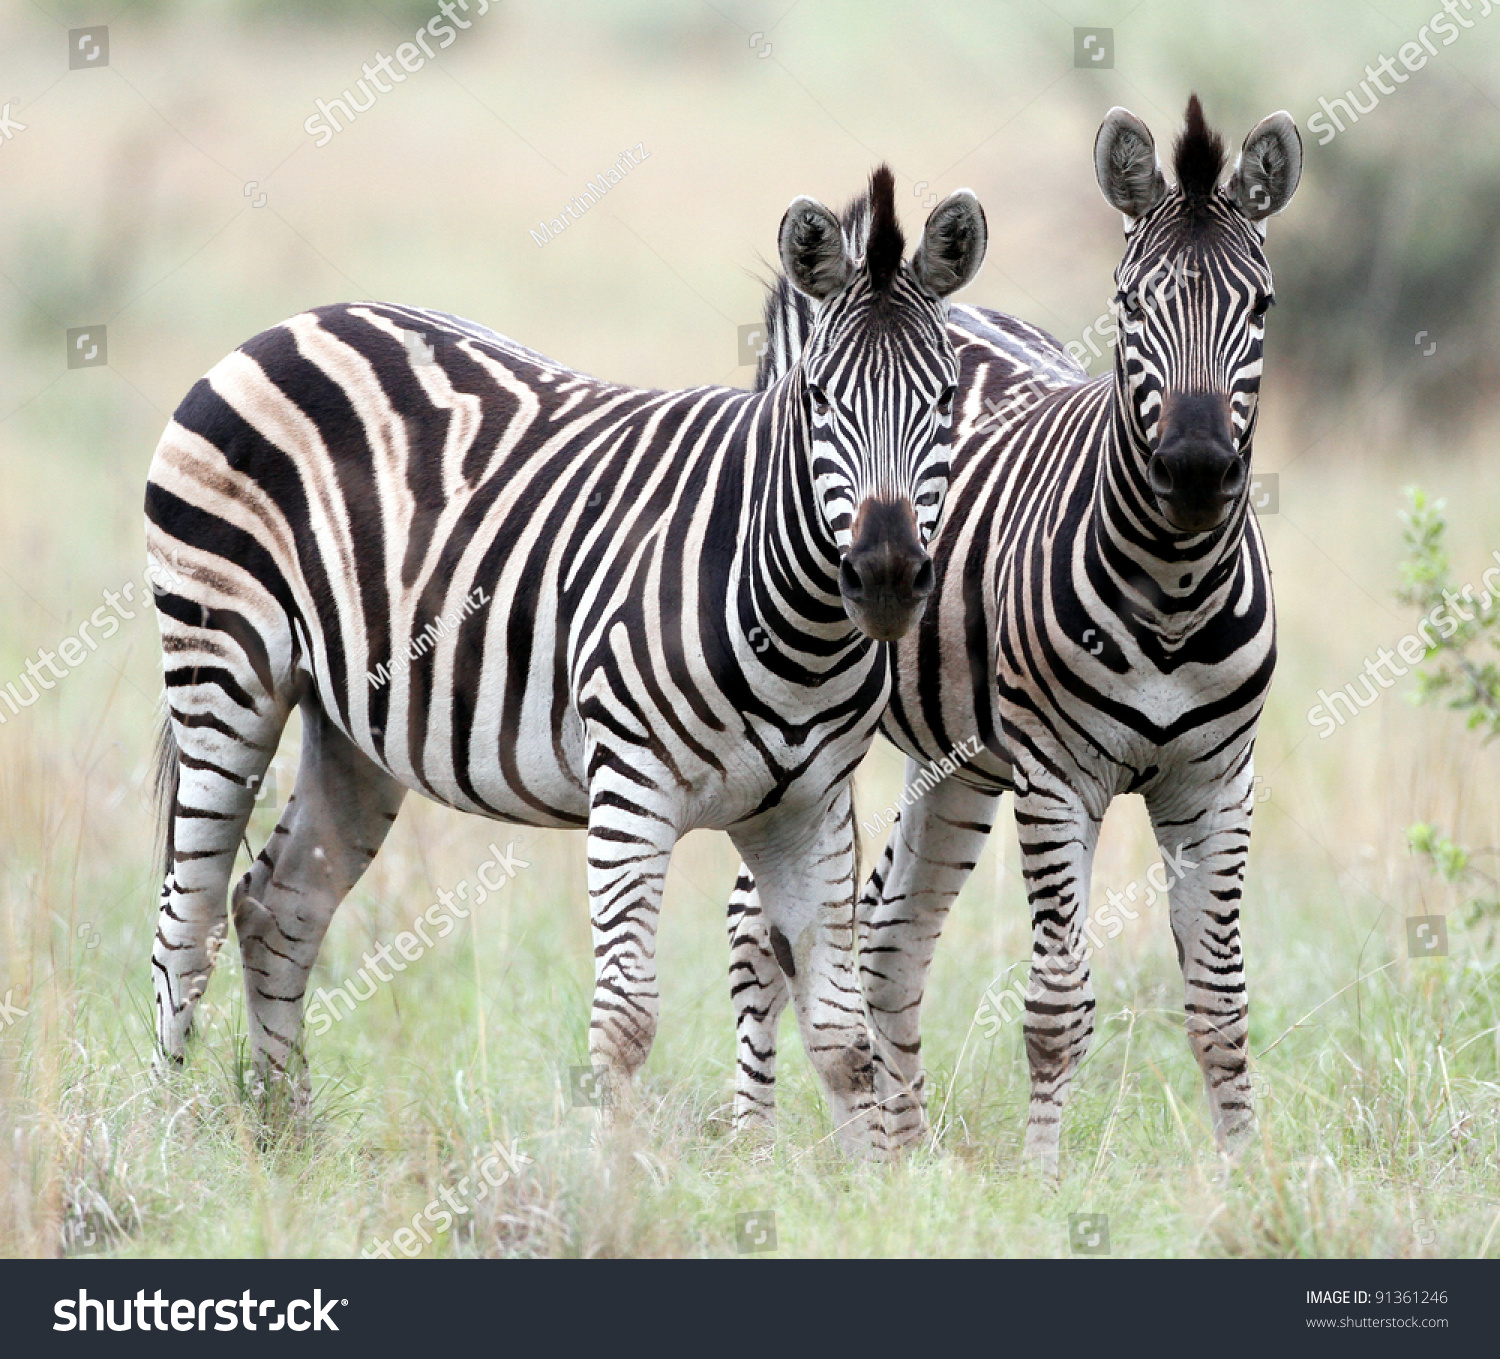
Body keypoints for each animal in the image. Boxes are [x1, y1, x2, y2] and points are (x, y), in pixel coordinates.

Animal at [146, 166, 987, 1154]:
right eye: (818, 397)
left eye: (945, 400)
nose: (887, 575)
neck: (796, 620)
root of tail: (290, 325)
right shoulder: (632, 788)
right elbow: (625, 1022)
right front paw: (620, 1179)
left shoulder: (809, 809)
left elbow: (842, 1037)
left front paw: (868, 1185)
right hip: (222, 674)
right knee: (186, 919)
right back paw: (163, 1138)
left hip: (351, 726)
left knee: (276, 909)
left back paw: (288, 1135)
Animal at [725, 98, 1302, 1171]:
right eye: (1130, 303)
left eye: (1262, 308)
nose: (1197, 470)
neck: (1175, 587)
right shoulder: (1057, 779)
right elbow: (1058, 1005)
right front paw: (1044, 1179)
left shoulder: (1219, 782)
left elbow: (1220, 1002)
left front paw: (1249, 1173)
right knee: (757, 935)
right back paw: (751, 1146)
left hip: (959, 755)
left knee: (893, 940)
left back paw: (905, 1155)